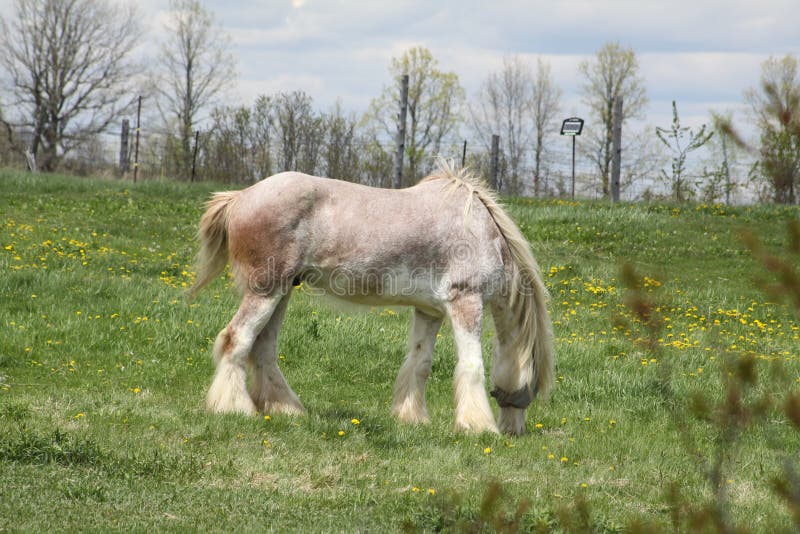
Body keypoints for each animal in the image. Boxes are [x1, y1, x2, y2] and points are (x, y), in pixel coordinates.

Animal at [188, 161, 553, 435]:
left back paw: (286, 409)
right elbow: (472, 365)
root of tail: (239, 197)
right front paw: (478, 426)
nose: (513, 432)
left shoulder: (429, 310)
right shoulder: (466, 301)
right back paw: (235, 409)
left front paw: (412, 418)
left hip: (282, 292)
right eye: (529, 389)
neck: (481, 231)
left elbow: (420, 363)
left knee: (262, 349)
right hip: (266, 290)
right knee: (236, 339)